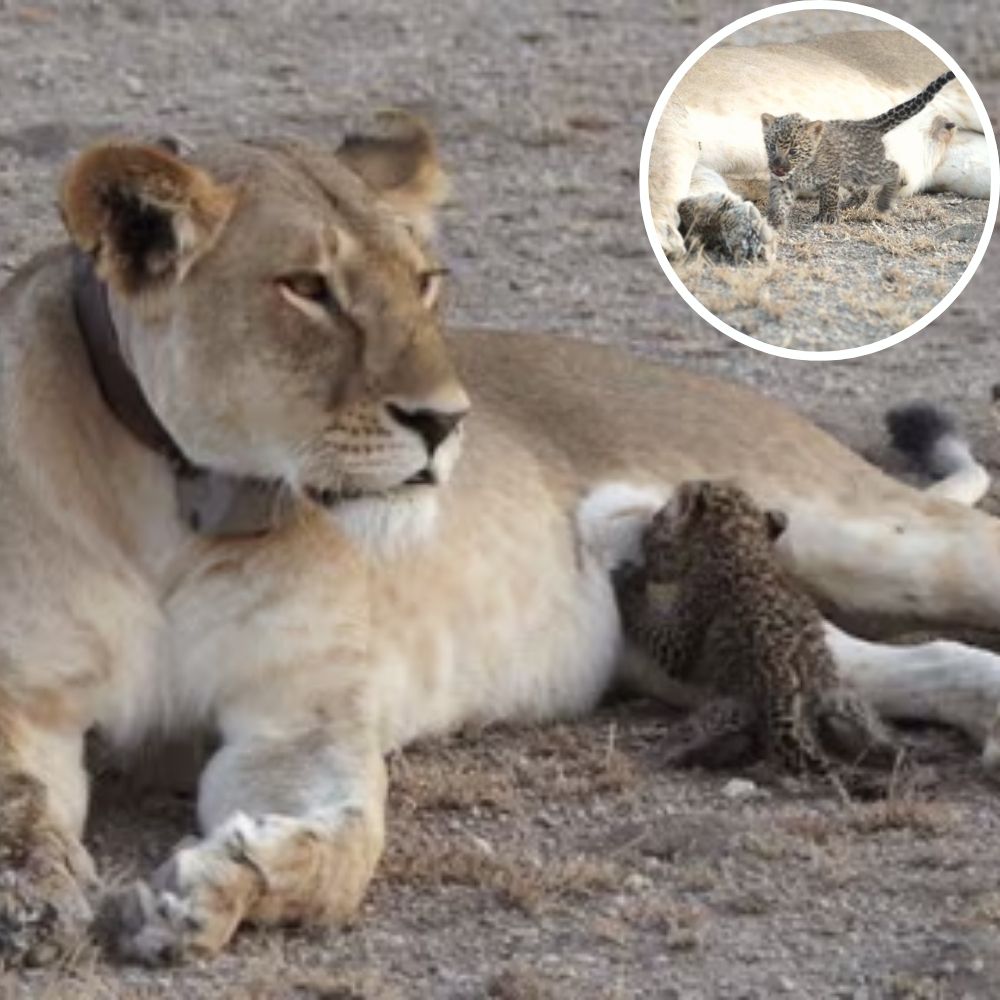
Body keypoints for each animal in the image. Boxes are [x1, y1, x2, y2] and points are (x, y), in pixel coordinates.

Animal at [4, 117, 1000, 968]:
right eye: (308, 289)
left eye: (423, 281)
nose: (447, 422)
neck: (184, 498)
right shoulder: (32, 704)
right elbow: (20, 807)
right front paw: (33, 903)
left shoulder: (301, 716)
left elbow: (344, 846)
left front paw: (219, 885)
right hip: (719, 636)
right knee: (924, 662)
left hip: (863, 533)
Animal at [649, 29, 991, 262]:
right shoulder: (701, 165)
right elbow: (696, 201)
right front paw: (745, 231)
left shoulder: (672, 116)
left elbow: (656, 176)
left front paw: (661, 237)